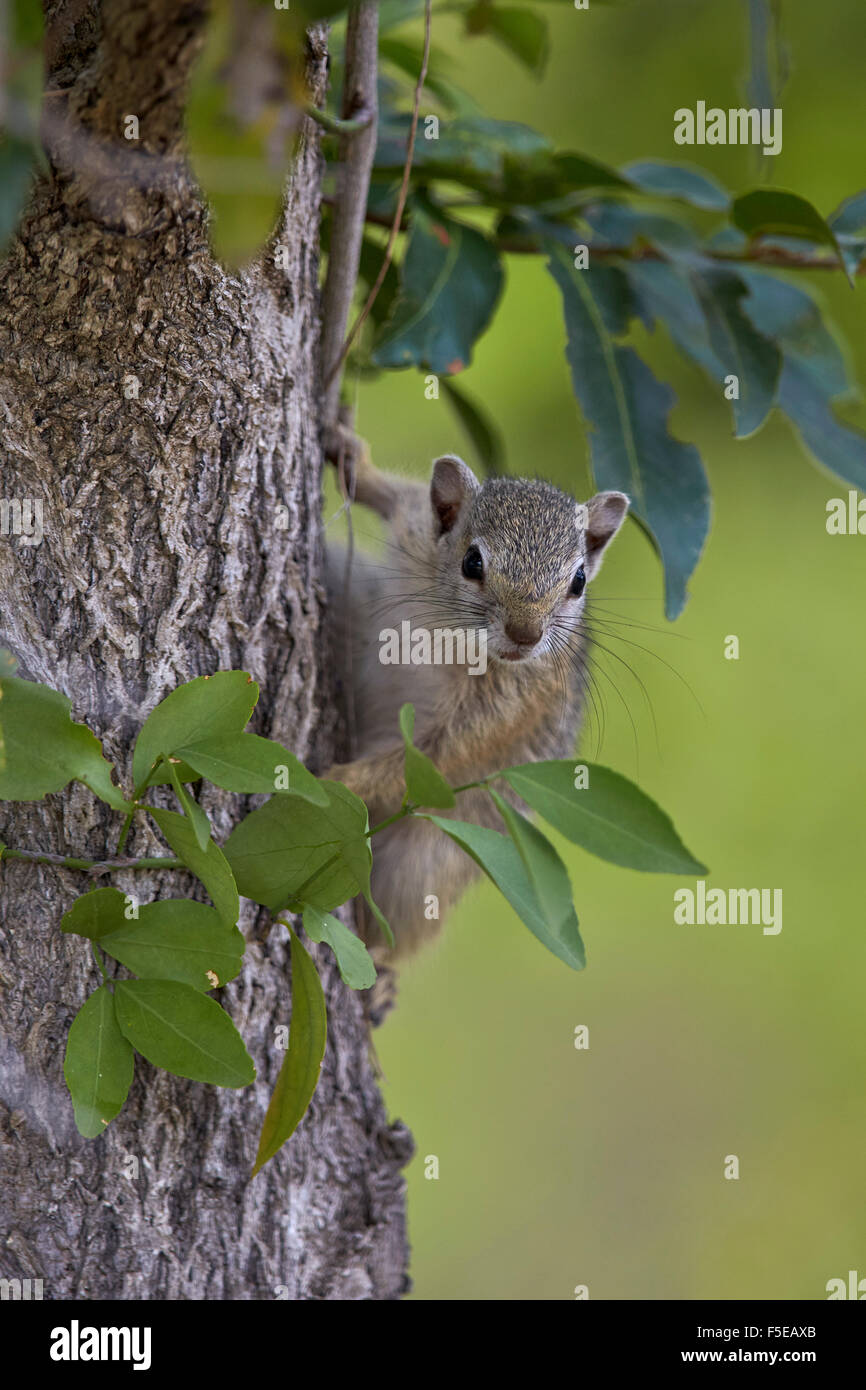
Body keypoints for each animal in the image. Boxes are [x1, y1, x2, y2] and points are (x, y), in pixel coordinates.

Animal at [324, 436, 628, 1015]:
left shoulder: (506, 707)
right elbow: (395, 495)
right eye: (471, 561)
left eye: (579, 581)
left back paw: (382, 975)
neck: (450, 630)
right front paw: (351, 456)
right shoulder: (415, 529)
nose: (526, 635)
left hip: (421, 870)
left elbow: (431, 759)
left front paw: (336, 779)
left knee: (397, 926)